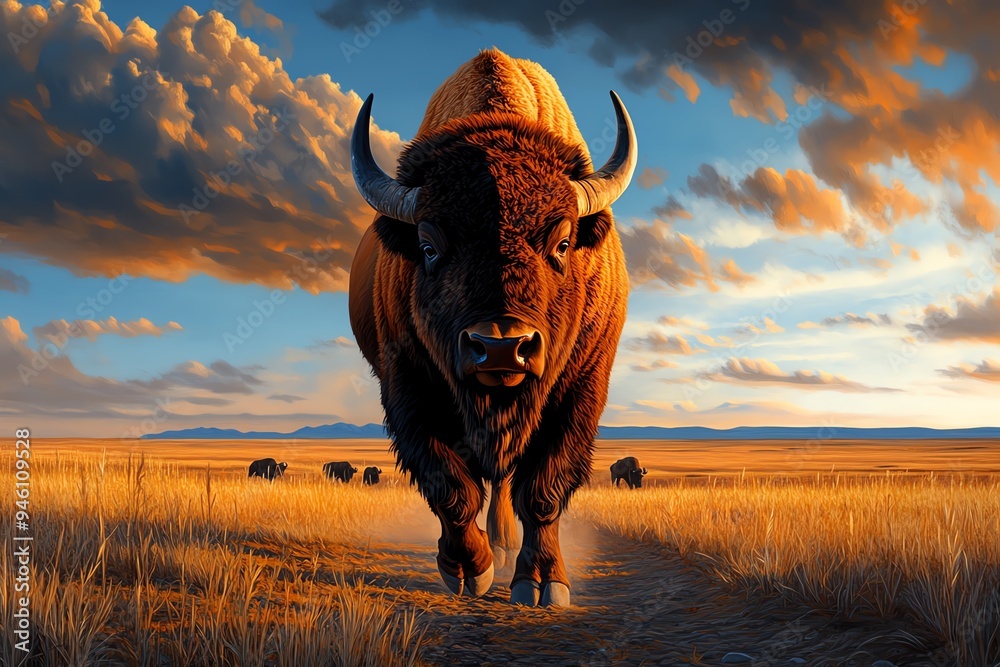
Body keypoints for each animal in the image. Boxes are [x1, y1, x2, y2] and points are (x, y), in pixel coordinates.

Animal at [348, 48, 636, 607]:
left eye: (562, 243)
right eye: (429, 246)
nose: (502, 349)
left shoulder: (580, 388)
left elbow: (542, 487)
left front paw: (542, 583)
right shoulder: (407, 383)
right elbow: (449, 484)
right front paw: (468, 570)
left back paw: (506, 549)